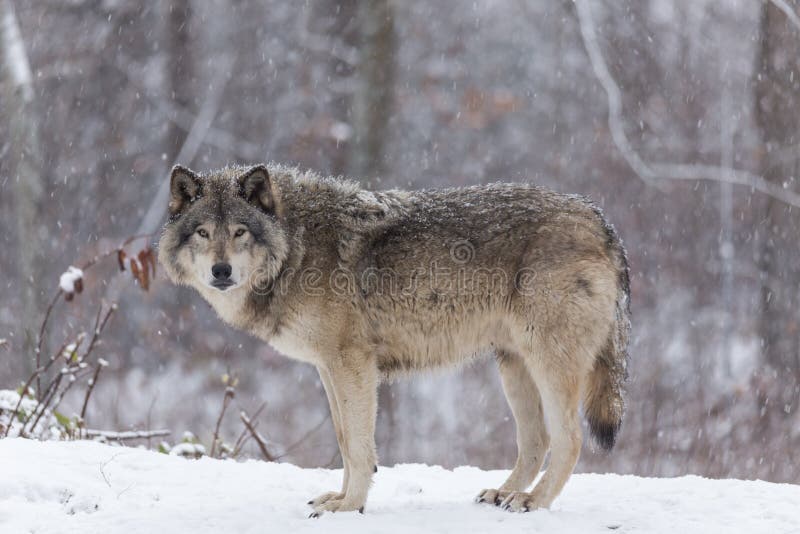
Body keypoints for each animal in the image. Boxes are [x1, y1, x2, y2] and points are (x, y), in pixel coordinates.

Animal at [158, 163, 630, 516]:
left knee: (569, 439)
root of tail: (601, 219)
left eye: (240, 231)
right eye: (203, 232)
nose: (221, 271)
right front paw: (340, 498)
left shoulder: (353, 365)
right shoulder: (328, 368)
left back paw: (533, 501)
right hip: (514, 366)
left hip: (548, 364)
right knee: (537, 441)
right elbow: (345, 441)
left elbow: (359, 445)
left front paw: (350, 506)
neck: (297, 248)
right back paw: (504, 493)